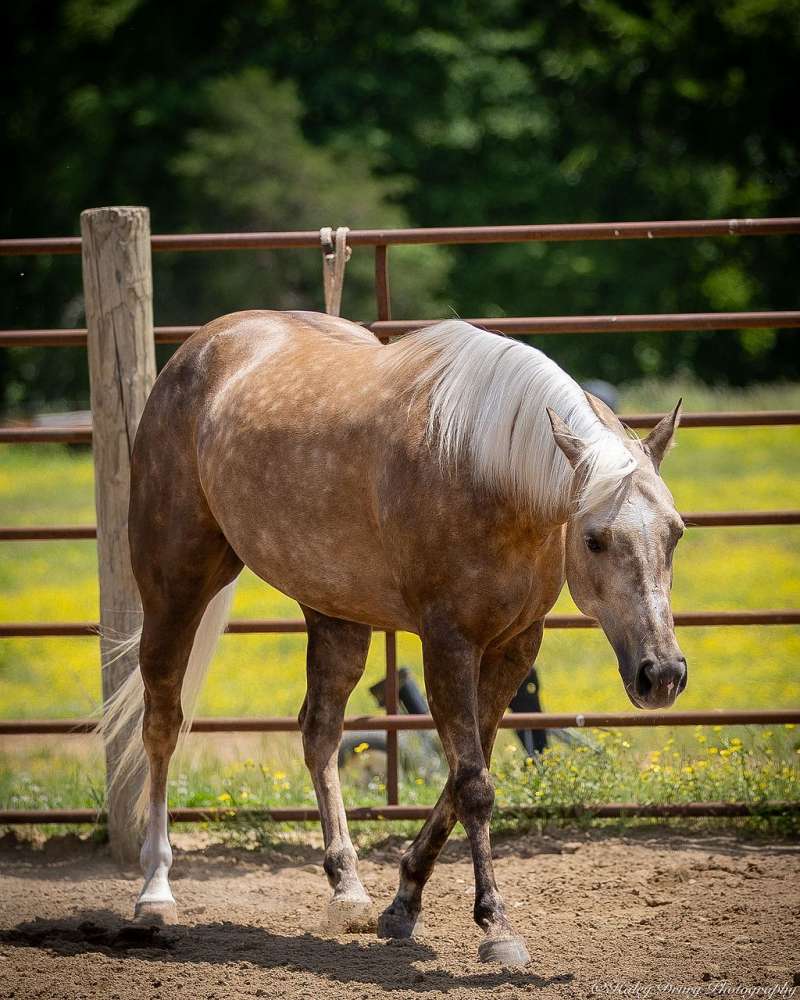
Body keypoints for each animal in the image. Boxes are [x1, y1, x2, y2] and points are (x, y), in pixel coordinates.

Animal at [104, 310, 687, 966]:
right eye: (594, 539)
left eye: (676, 532)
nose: (662, 675)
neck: (486, 467)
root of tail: (204, 347)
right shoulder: (449, 643)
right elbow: (473, 784)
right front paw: (497, 926)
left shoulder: (514, 647)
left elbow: (463, 776)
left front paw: (403, 903)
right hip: (175, 588)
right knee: (161, 724)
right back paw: (155, 893)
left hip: (333, 612)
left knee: (319, 731)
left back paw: (348, 889)